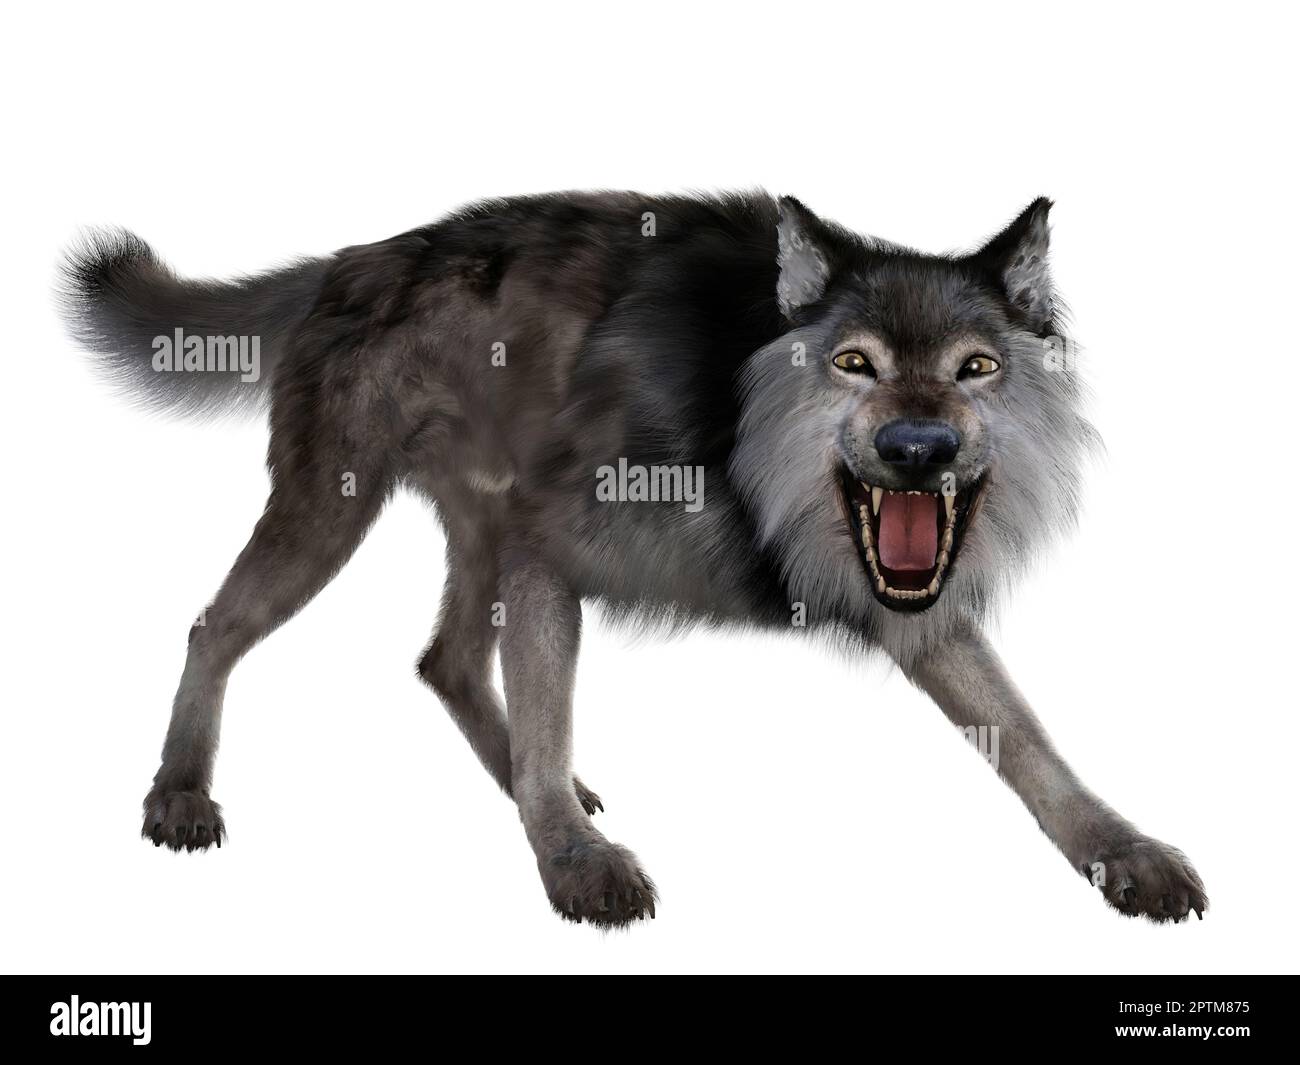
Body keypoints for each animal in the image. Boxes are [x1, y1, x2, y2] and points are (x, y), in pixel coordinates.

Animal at [60, 191, 1206, 926]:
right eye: (854, 363)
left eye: (975, 369)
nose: (916, 450)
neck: (741, 431)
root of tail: (351, 258)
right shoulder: (549, 542)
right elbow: (548, 710)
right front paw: (574, 862)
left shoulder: (918, 616)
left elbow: (1031, 743)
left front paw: (1125, 851)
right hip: (331, 517)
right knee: (216, 624)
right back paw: (180, 792)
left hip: (469, 528)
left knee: (444, 661)